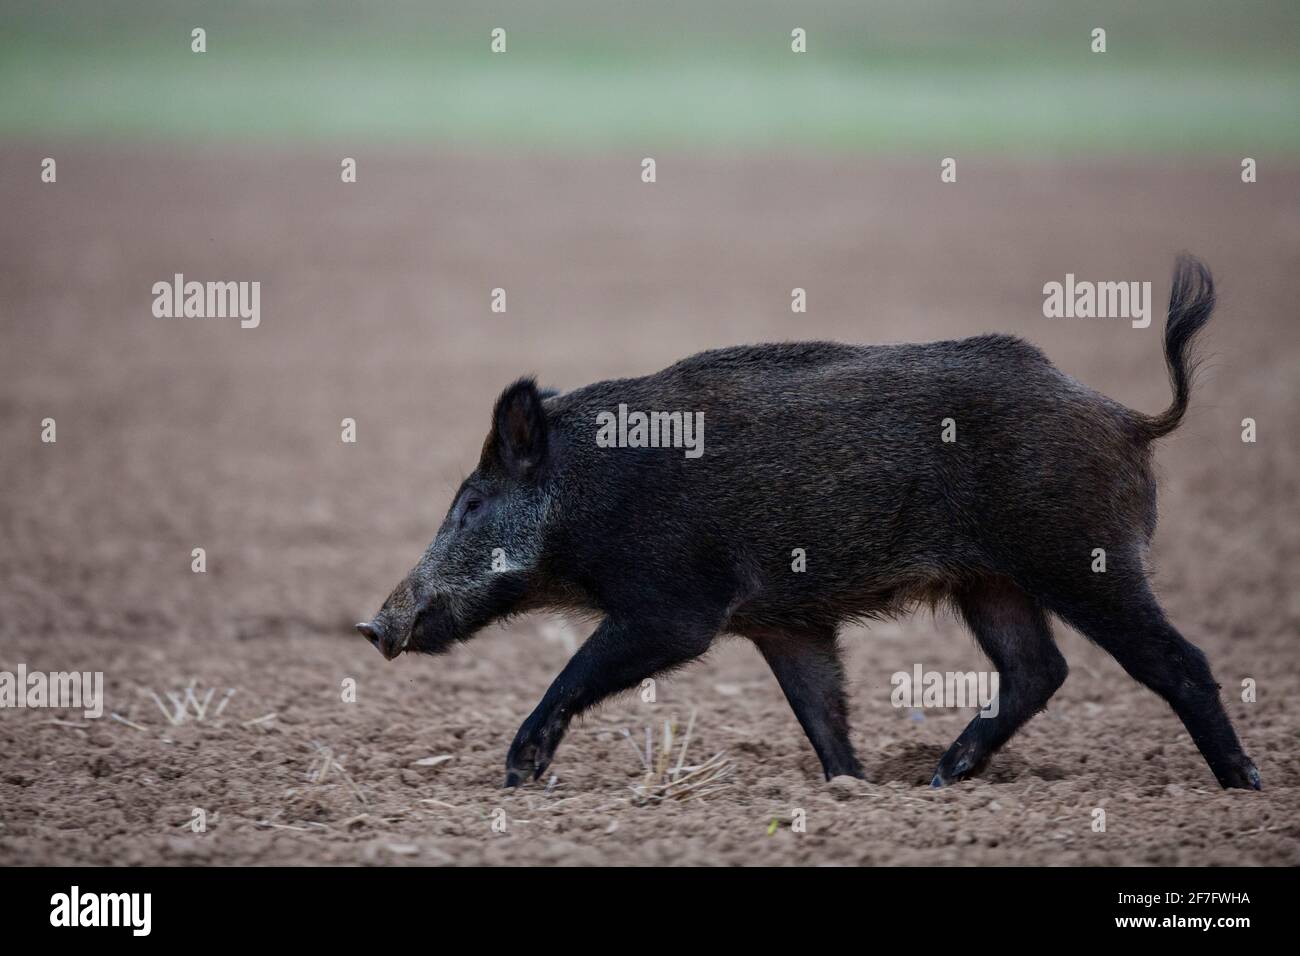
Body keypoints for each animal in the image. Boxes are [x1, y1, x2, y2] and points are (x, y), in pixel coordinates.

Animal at [358, 254, 1260, 791]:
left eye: (471, 504)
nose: (372, 626)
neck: (589, 495)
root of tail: (1130, 420)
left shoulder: (678, 607)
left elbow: (581, 667)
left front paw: (516, 774)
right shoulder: (784, 622)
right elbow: (822, 710)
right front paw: (851, 788)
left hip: (1081, 555)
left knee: (1175, 661)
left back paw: (1241, 786)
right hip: (991, 581)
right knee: (1038, 668)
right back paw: (940, 778)